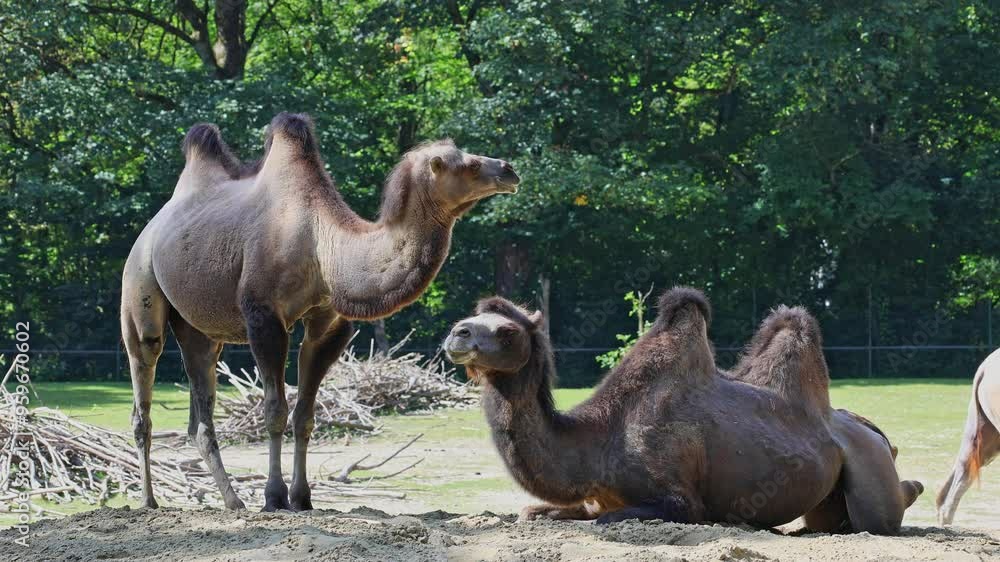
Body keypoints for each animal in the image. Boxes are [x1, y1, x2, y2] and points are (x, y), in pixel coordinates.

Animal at [121, 113, 519, 511]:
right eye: (468, 164)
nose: (509, 168)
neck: (321, 245)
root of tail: (155, 224)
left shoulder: (329, 323)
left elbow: (305, 415)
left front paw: (302, 497)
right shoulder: (263, 315)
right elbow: (275, 409)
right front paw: (274, 496)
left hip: (200, 330)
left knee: (200, 414)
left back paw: (233, 502)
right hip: (139, 286)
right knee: (144, 382)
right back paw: (149, 500)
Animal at [443, 288, 922, 534]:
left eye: (507, 332)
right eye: (470, 317)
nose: (457, 333)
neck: (599, 442)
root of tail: (871, 429)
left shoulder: (679, 497)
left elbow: (618, 518)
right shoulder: (592, 497)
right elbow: (534, 512)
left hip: (868, 468)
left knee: (878, 518)